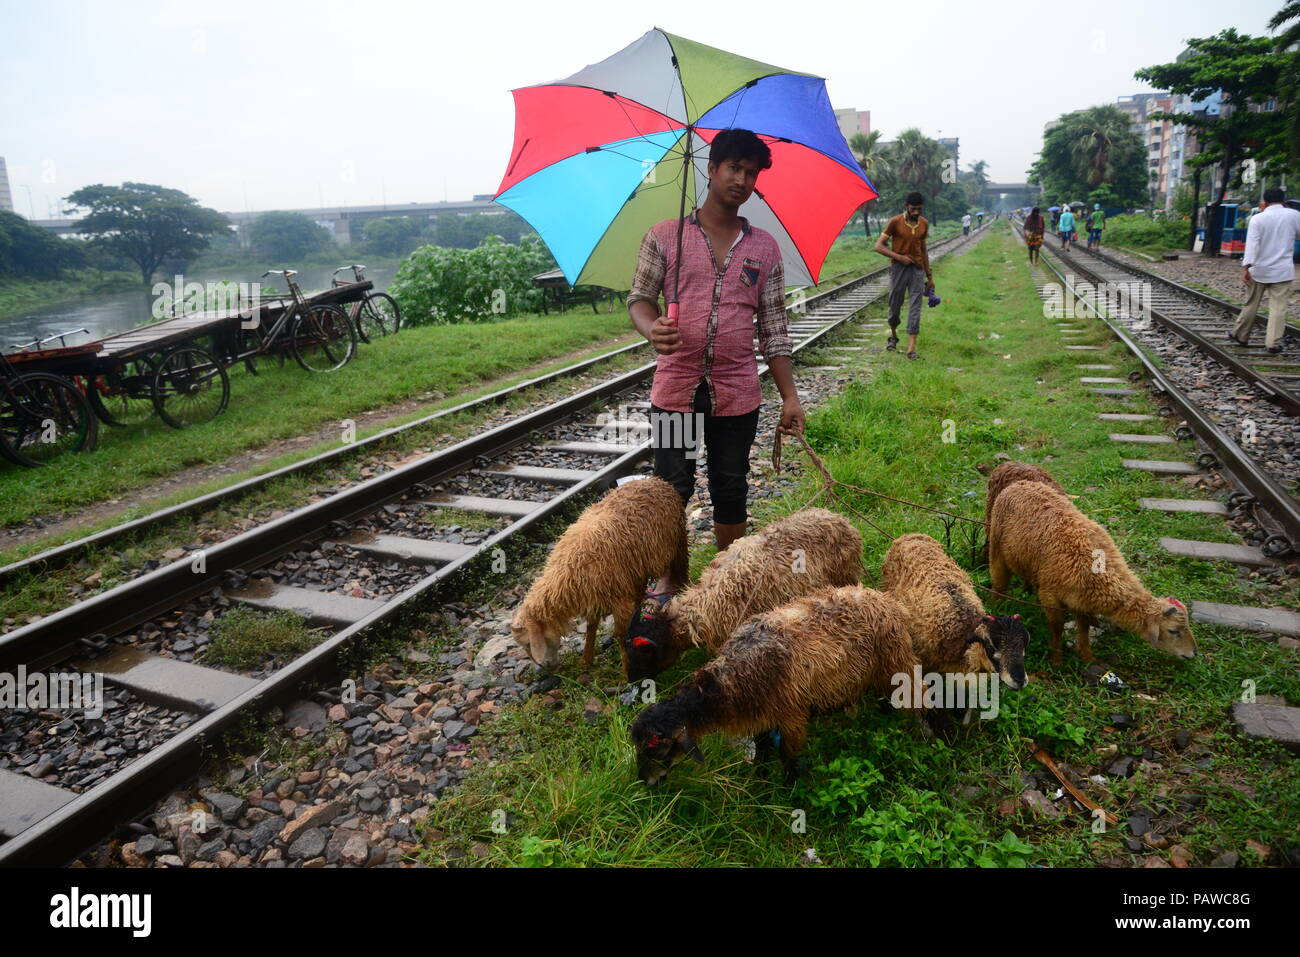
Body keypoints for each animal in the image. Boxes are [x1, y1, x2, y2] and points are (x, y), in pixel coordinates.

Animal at [510, 476, 688, 672]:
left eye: (528, 643)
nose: (544, 667)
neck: (567, 572)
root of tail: (652, 479)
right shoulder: (593, 596)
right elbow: (591, 627)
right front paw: (586, 660)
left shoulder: (619, 602)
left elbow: (621, 636)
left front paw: (625, 670)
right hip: (636, 570)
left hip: (678, 538)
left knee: (681, 568)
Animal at [630, 584, 917, 785]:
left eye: (659, 750)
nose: (645, 782)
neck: (729, 681)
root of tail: (886, 600)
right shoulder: (761, 715)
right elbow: (762, 748)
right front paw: (760, 777)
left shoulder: (792, 717)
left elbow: (789, 757)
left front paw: (788, 789)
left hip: (895, 664)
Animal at [988, 480, 1196, 663]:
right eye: (1173, 631)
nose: (1193, 653)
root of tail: (1019, 483)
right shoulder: (1050, 594)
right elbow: (1057, 627)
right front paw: (1056, 660)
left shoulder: (1081, 599)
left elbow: (1084, 626)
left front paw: (1087, 656)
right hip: (996, 545)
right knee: (999, 582)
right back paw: (997, 608)